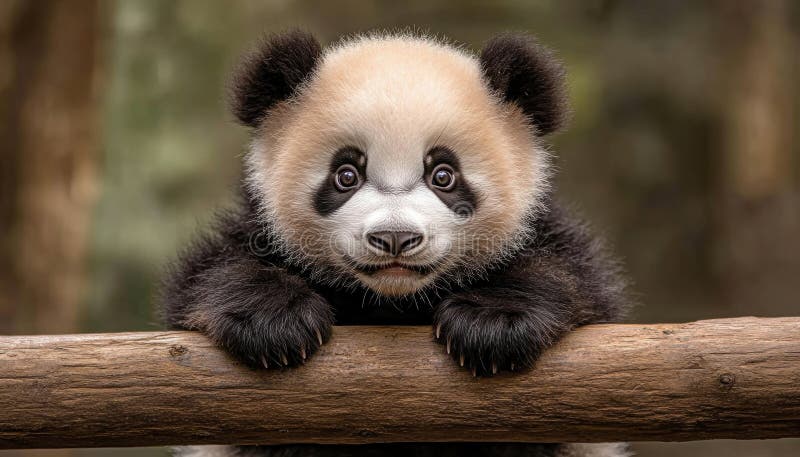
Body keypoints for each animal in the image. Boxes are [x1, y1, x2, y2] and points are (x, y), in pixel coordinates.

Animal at [163, 30, 630, 457]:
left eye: (443, 175)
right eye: (346, 175)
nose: (395, 238)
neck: (392, 301)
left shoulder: (550, 235)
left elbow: (570, 278)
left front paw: (491, 324)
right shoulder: (252, 228)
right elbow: (211, 273)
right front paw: (275, 321)